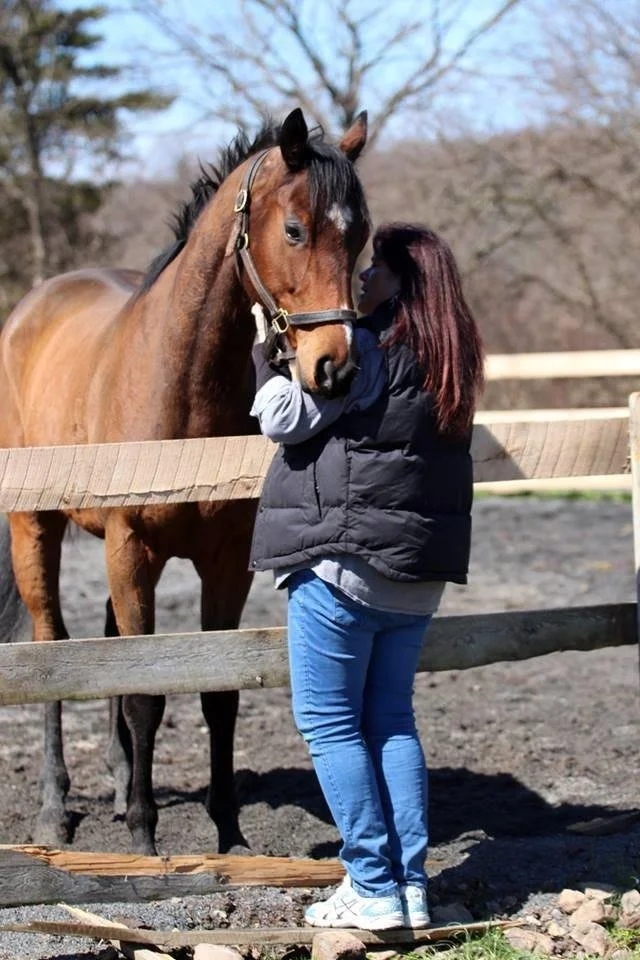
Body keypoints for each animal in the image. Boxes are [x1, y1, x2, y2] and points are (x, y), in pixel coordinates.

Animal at [0, 107, 370, 855]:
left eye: (362, 235)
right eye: (295, 229)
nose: (335, 368)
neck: (181, 386)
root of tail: (31, 307)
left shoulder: (225, 563)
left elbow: (213, 689)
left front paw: (228, 836)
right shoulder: (132, 550)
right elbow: (148, 695)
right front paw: (146, 841)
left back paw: (119, 789)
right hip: (36, 531)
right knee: (51, 648)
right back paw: (57, 809)